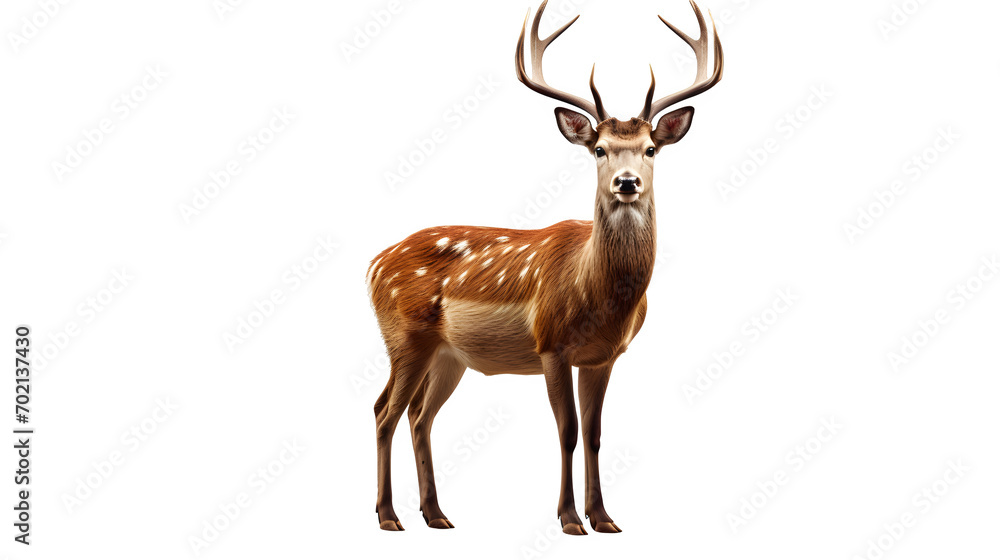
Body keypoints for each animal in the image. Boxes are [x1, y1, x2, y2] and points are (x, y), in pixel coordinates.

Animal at [367, 0, 723, 535]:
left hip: (449, 355)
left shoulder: (603, 356)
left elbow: (595, 433)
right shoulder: (550, 342)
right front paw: (570, 519)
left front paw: (605, 518)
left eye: (650, 148)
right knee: (385, 410)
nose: (626, 182)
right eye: (599, 149)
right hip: (404, 336)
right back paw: (389, 516)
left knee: (418, 414)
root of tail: (374, 263)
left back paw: (436, 514)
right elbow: (567, 430)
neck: (594, 291)